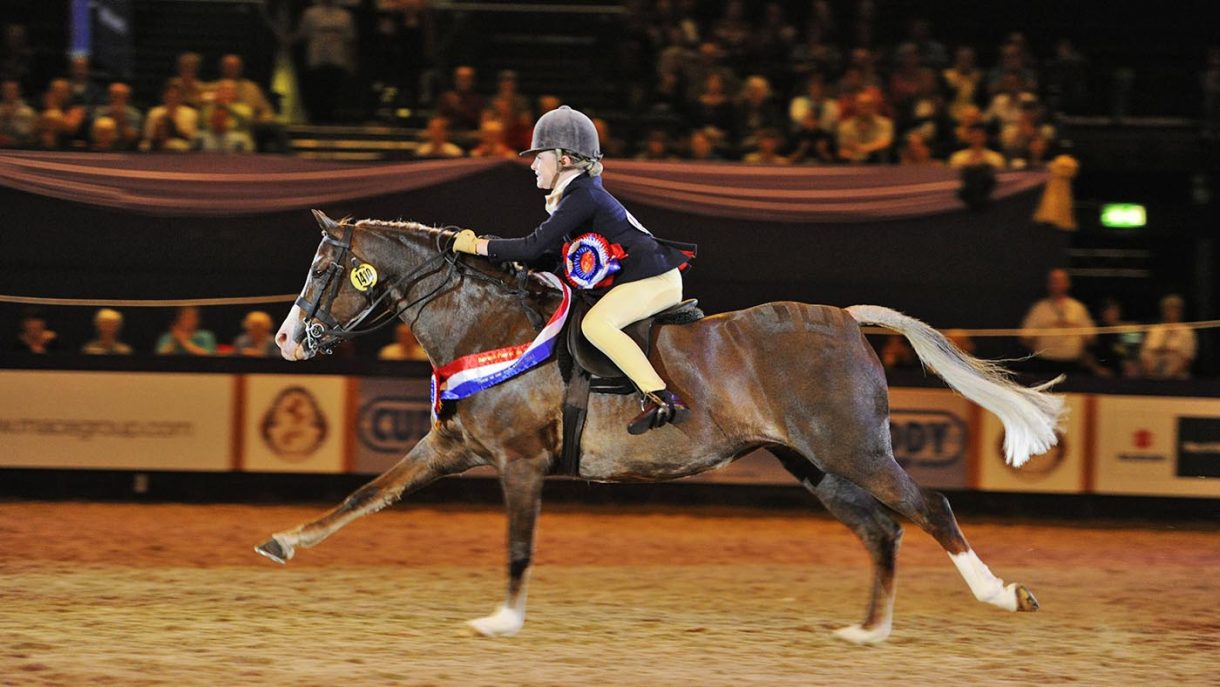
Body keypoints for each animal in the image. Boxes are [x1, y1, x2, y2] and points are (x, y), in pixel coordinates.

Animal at [259, 210, 1062, 644]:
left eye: (325, 268)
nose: (288, 342)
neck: (488, 326)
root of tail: (845, 319)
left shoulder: (519, 460)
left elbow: (519, 544)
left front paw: (503, 621)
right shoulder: (450, 447)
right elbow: (366, 494)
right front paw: (282, 543)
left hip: (854, 450)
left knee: (930, 508)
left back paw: (1002, 595)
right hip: (815, 464)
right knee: (883, 529)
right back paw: (871, 629)